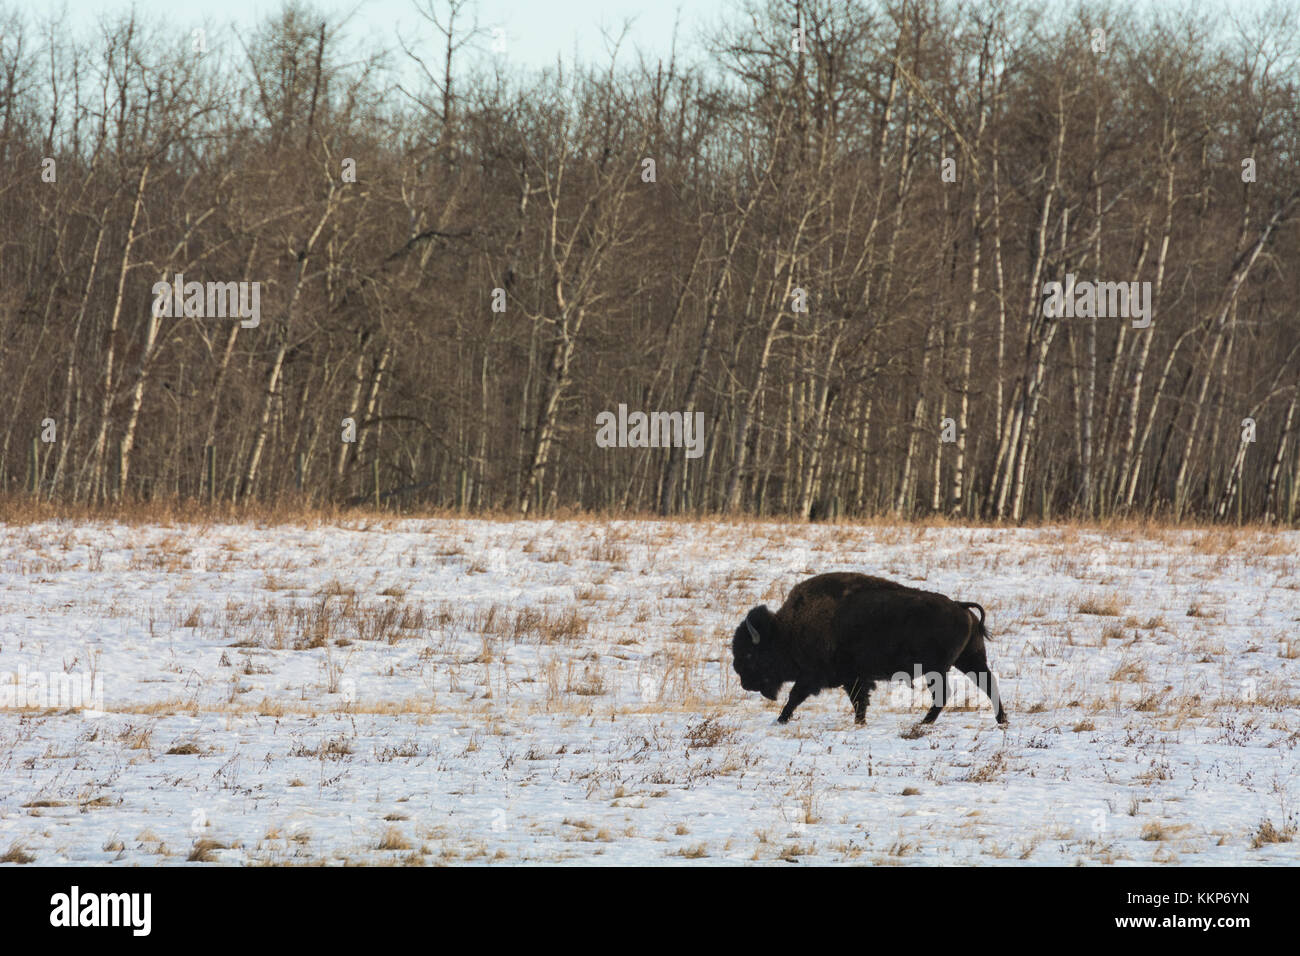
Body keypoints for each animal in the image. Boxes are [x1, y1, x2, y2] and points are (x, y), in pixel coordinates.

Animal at [731, 572, 1007, 726]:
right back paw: (1002, 720)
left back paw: (924, 722)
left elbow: (795, 696)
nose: (745, 683)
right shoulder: (854, 678)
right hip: (969, 660)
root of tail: (961, 606)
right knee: (988, 684)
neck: (787, 631)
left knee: (944, 694)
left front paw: (780, 720)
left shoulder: (814, 676)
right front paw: (860, 722)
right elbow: (859, 700)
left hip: (937, 668)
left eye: (749, 654)